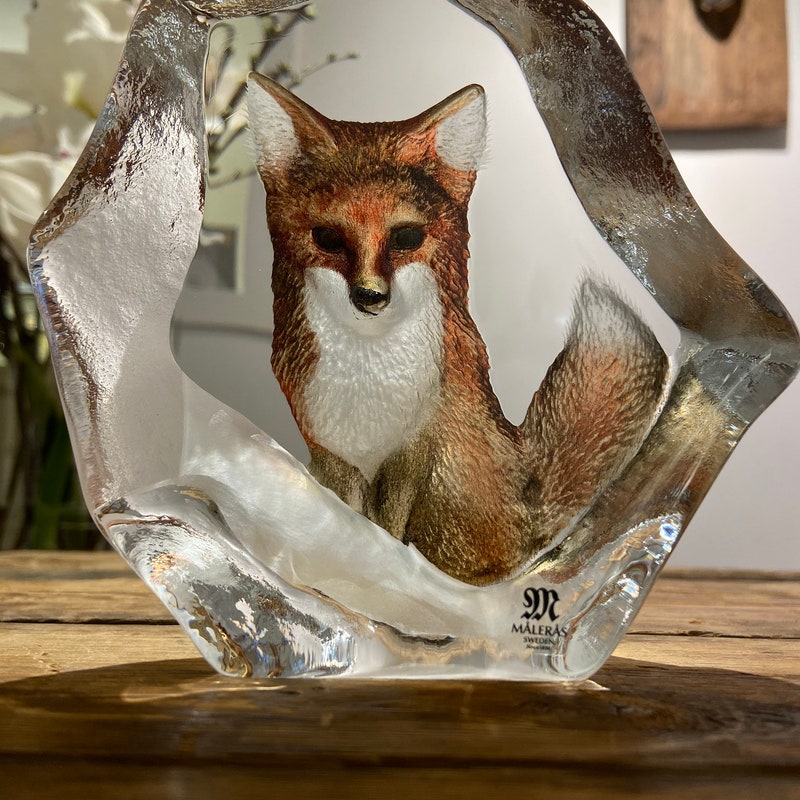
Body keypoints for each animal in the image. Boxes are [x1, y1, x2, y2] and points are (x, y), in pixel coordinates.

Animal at [247, 73, 670, 586]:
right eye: (327, 239)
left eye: (406, 237)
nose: (370, 297)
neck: (369, 378)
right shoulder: (326, 444)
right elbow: (346, 514)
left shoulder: (418, 444)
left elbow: (387, 526)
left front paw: (384, 570)